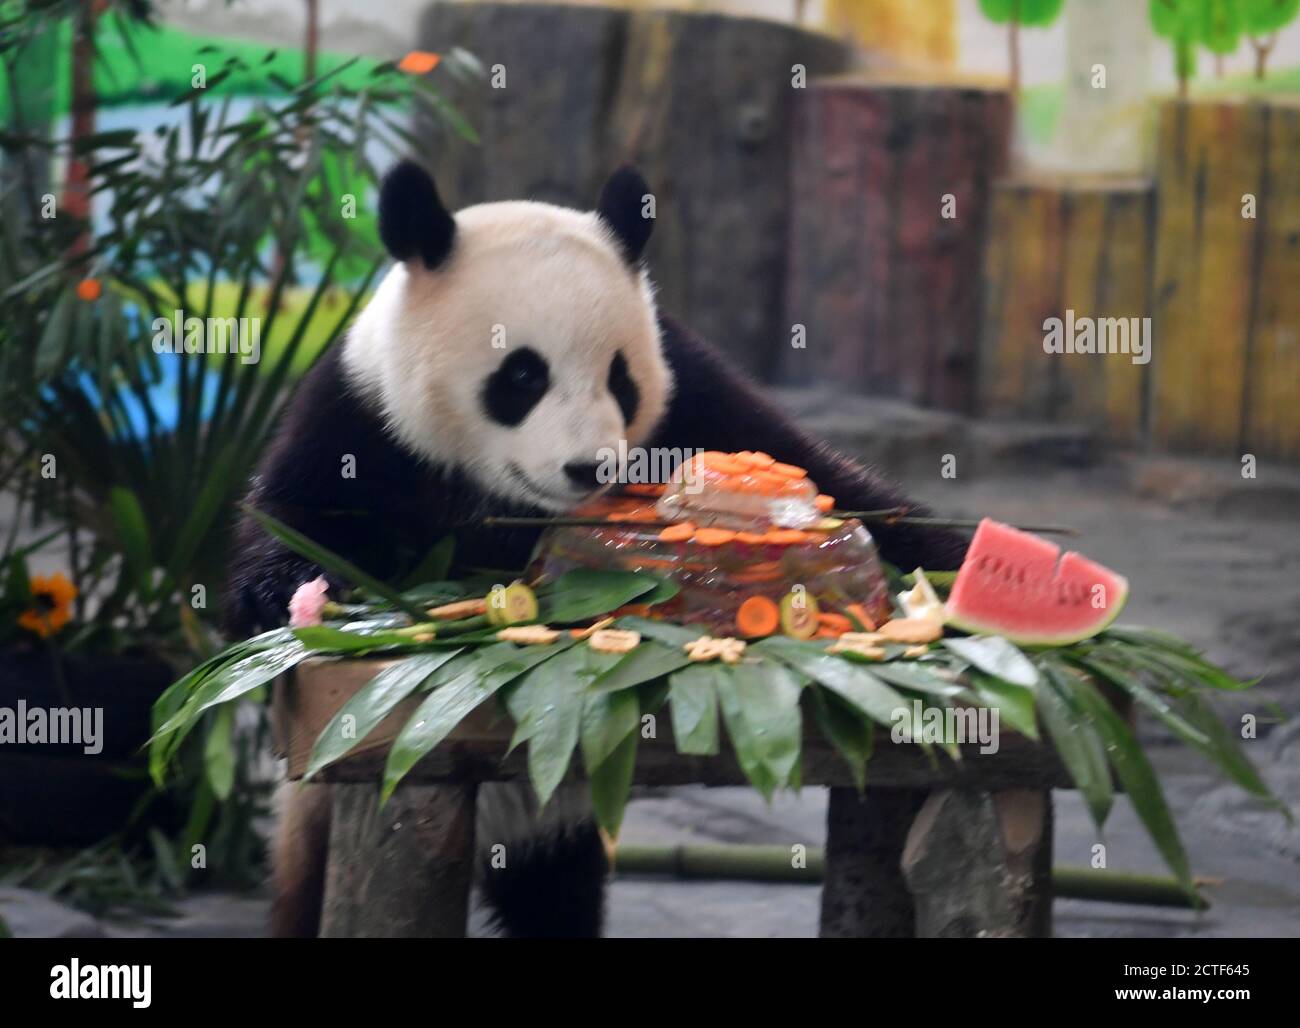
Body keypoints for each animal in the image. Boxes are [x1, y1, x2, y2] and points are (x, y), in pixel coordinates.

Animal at [226, 160, 967, 938]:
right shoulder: (363, 416)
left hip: (560, 816)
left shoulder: (692, 393)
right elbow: (292, 517)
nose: (592, 468)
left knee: (558, 894)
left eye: (620, 377)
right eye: (522, 376)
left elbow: (827, 475)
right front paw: (298, 591)